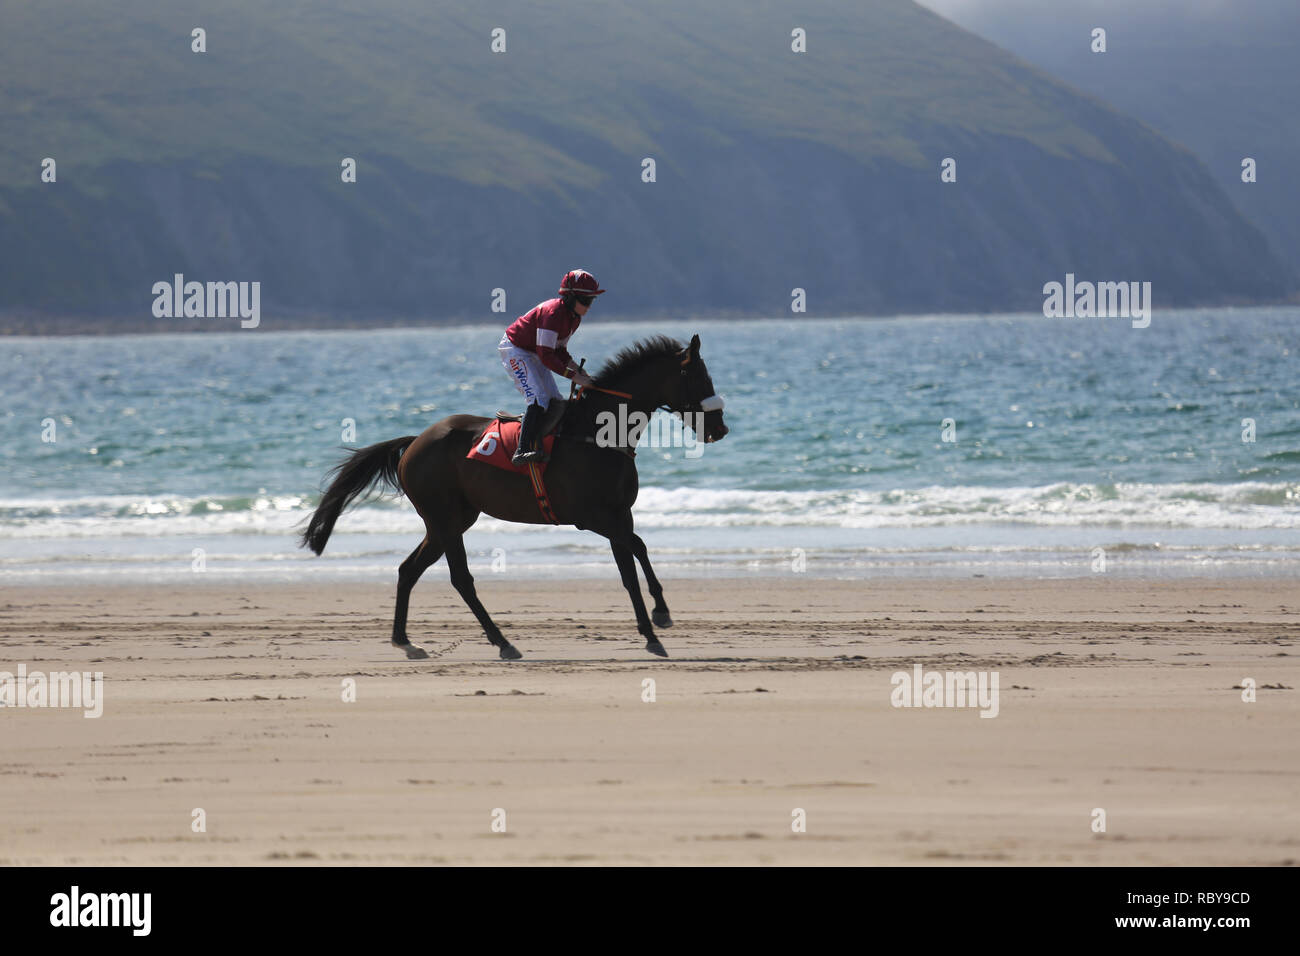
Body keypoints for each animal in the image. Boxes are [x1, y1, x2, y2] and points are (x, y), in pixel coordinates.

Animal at [300, 333, 729, 660]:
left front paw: (651, 633)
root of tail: (415, 441)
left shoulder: (619, 514)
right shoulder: (592, 516)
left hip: (450, 520)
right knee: (460, 578)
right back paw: (503, 642)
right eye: (698, 376)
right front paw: (661, 613)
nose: (720, 428)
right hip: (444, 518)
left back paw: (406, 642)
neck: (598, 433)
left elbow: (629, 571)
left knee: (409, 570)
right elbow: (639, 548)